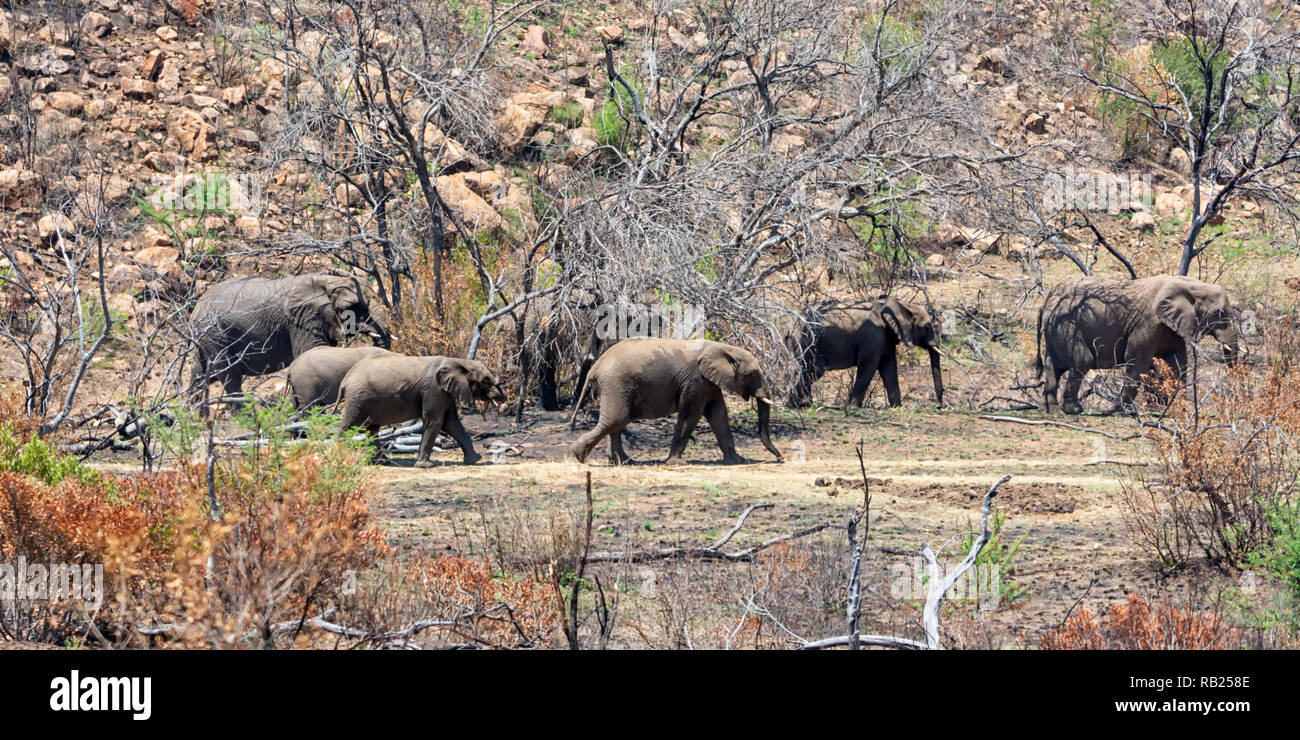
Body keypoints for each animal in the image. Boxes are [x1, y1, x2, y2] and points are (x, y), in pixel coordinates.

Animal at [188, 274, 390, 409]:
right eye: (350, 308)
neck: (325, 280)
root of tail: (196, 308)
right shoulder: (303, 319)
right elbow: (309, 351)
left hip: (208, 337)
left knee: (200, 374)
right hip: (215, 332)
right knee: (230, 376)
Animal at [337, 354, 507, 466]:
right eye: (485, 380)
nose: (504, 398)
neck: (458, 361)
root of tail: (345, 379)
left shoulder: (445, 392)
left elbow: (451, 423)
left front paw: (475, 460)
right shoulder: (434, 390)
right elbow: (435, 422)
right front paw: (425, 466)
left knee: (371, 428)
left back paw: (382, 462)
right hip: (357, 398)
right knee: (349, 425)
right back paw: (338, 459)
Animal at [569, 337, 783, 465]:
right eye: (752, 374)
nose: (781, 459)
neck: (722, 347)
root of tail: (596, 365)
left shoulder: (709, 382)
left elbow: (718, 415)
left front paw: (737, 461)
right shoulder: (695, 380)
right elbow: (692, 415)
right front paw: (677, 463)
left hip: (616, 386)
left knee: (618, 422)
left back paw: (624, 462)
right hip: (616, 383)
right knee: (617, 420)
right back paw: (579, 456)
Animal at [788, 297, 944, 409]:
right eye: (927, 327)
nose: (938, 406)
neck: (900, 304)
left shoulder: (885, 337)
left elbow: (889, 367)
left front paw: (897, 407)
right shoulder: (873, 335)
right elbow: (869, 366)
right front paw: (853, 407)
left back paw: (800, 404)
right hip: (809, 340)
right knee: (813, 370)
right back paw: (799, 404)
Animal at [1036, 275, 1241, 415]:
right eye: (1219, 313)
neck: (1189, 283)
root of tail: (1045, 301)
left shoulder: (1170, 326)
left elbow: (1176, 363)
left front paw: (1174, 410)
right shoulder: (1148, 322)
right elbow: (1138, 361)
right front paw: (1118, 411)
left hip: (1056, 328)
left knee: (1054, 366)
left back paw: (1051, 409)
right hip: (1067, 325)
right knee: (1082, 361)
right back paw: (1074, 410)